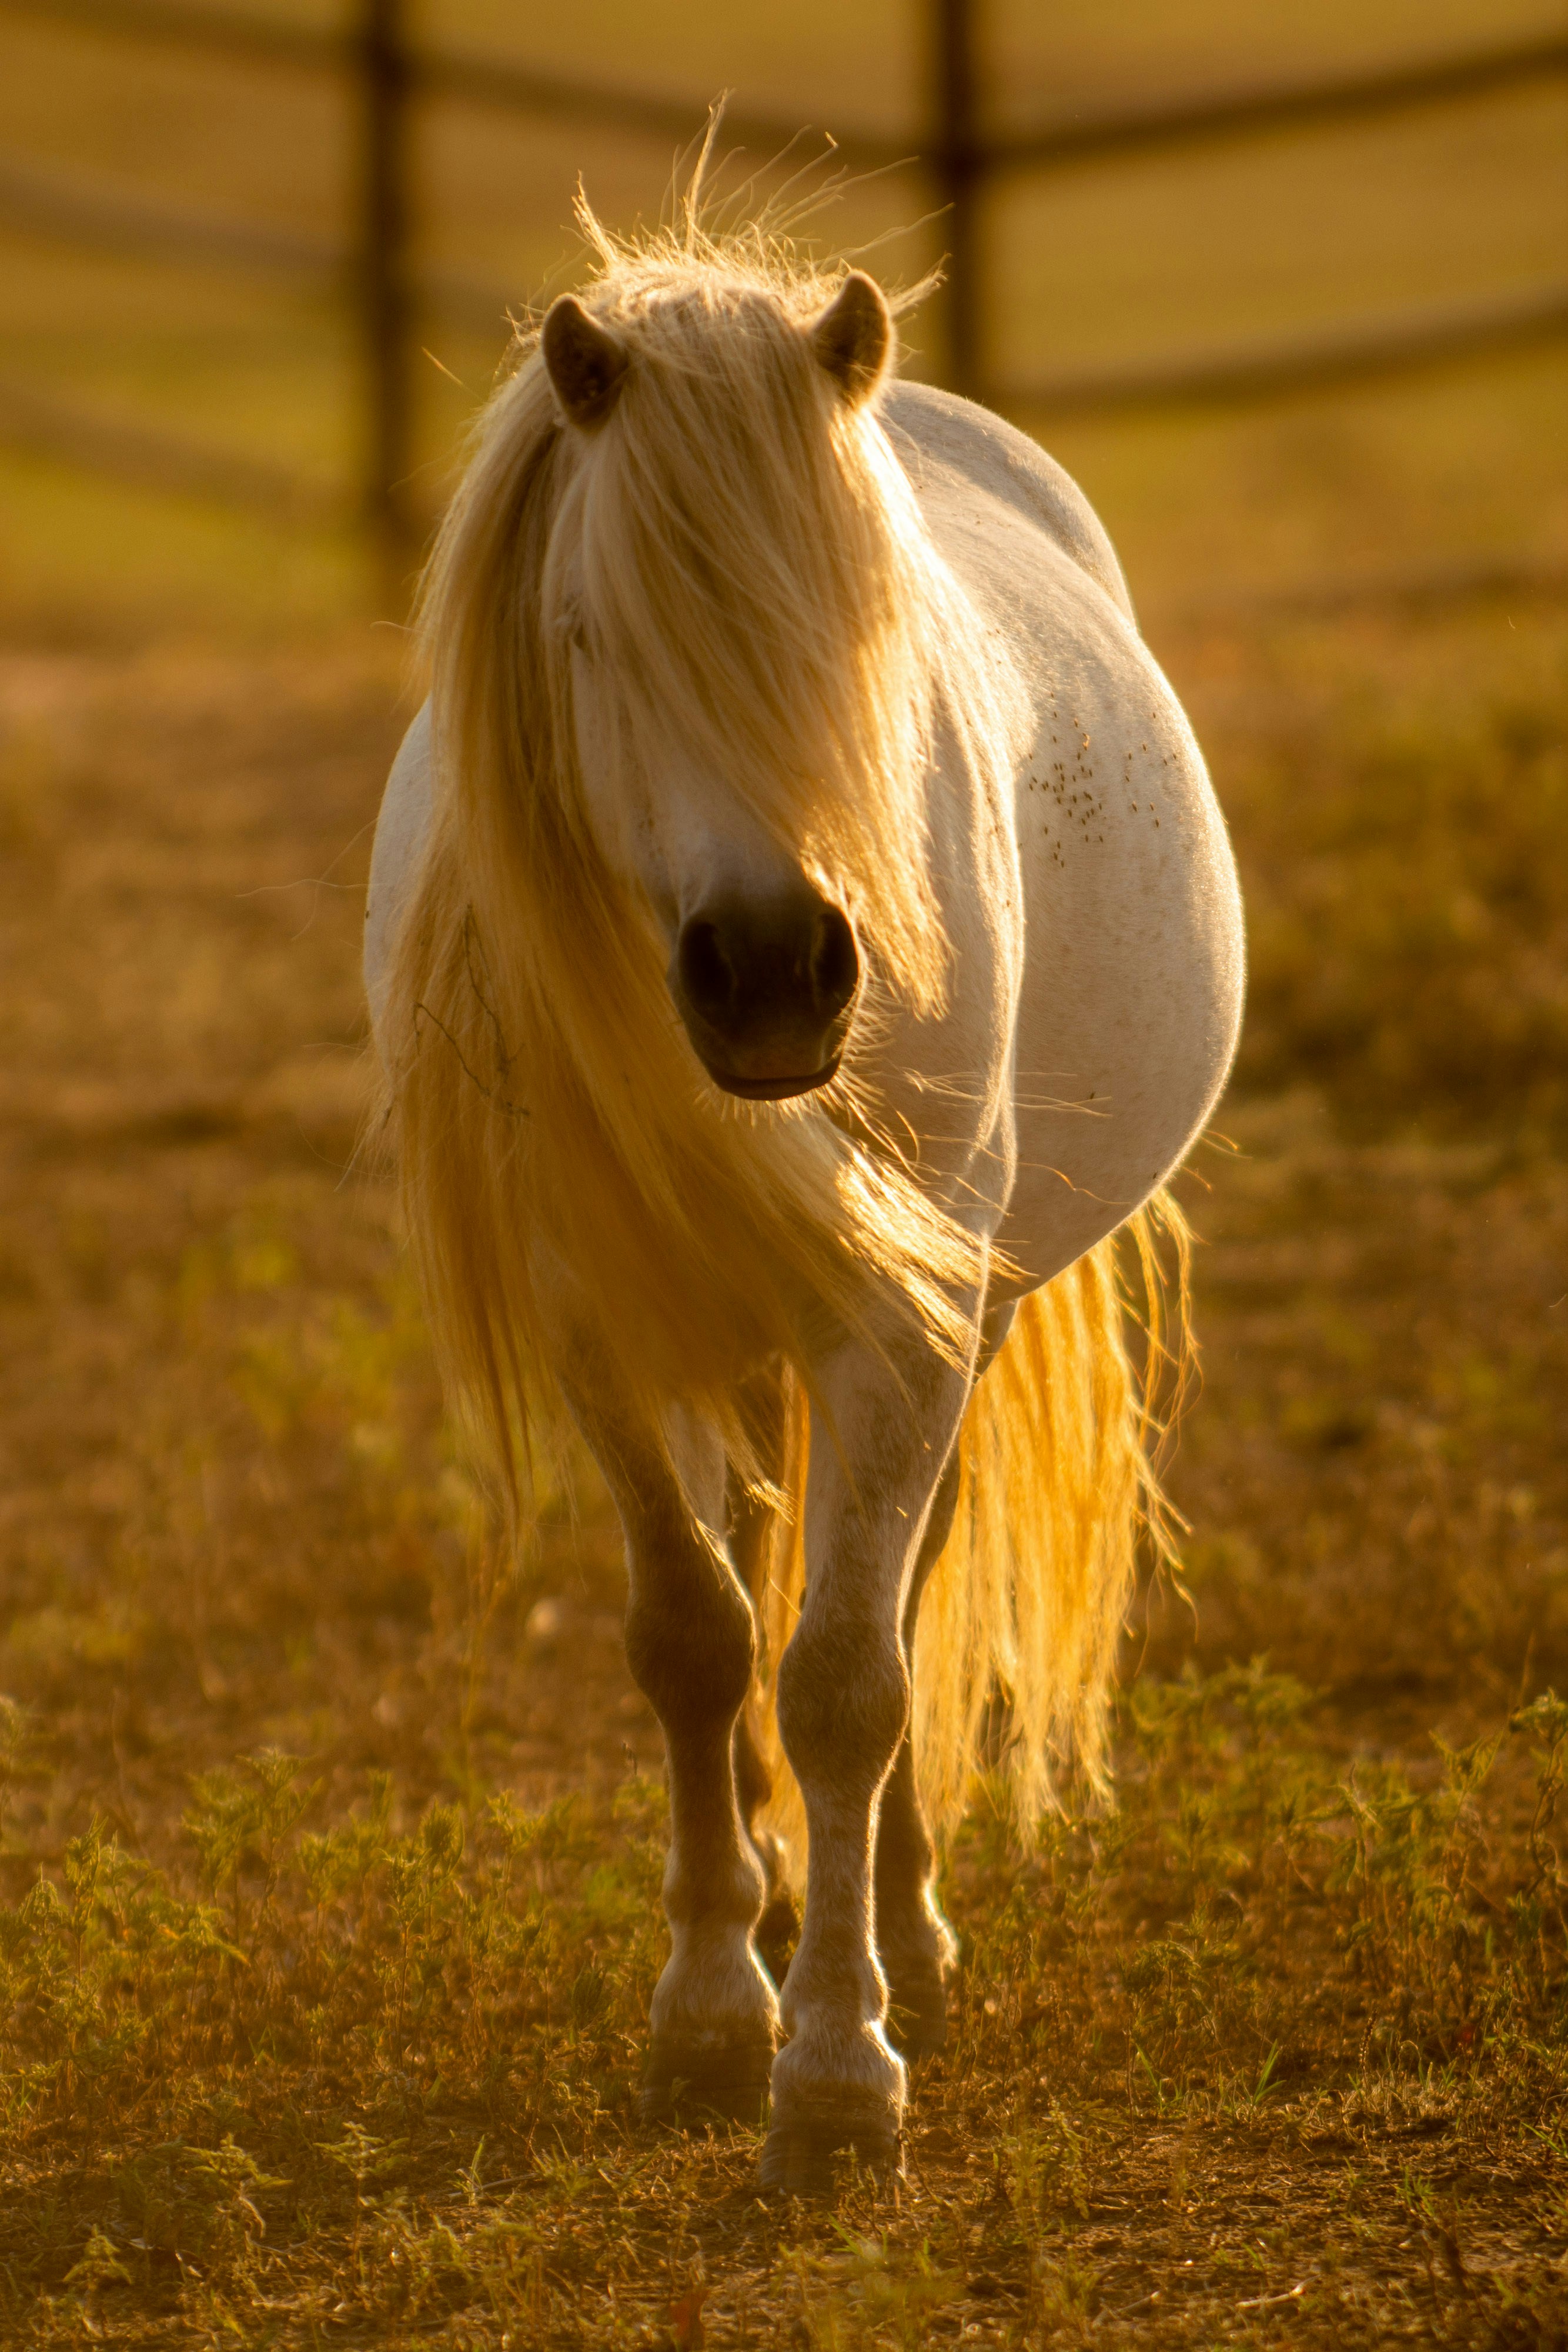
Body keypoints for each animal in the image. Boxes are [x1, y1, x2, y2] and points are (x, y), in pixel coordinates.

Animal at [363, 203, 1244, 2194]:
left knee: (901, 1595)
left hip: (956, 1318)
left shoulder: (898, 1322)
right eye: (589, 638)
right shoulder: (598, 1312)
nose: (774, 974)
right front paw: (708, 2006)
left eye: (869, 631)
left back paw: (898, 1926)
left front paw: (840, 2067)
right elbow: (694, 1642)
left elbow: (847, 1674)